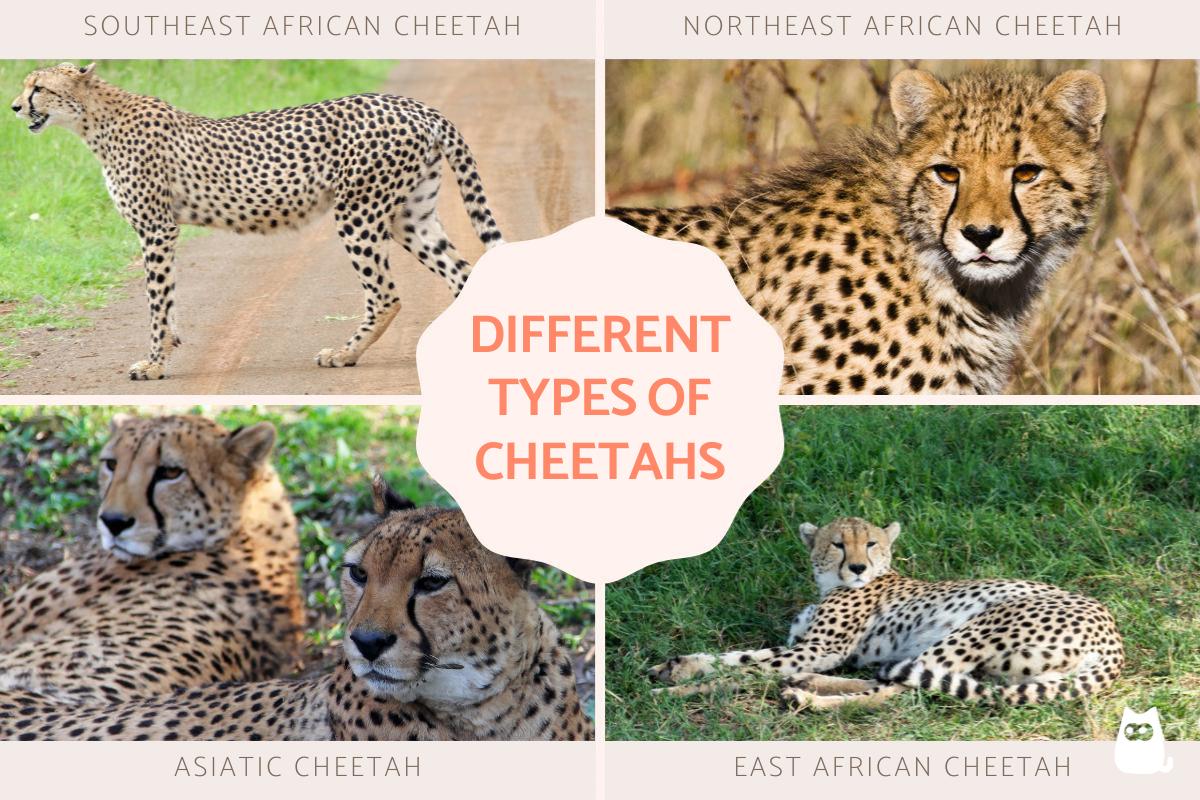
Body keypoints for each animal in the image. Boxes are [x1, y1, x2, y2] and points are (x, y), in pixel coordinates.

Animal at [10, 62, 504, 380]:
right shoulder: (163, 230)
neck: (95, 119)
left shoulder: (156, 228)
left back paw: (343, 354)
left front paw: (153, 363)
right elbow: (167, 299)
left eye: (38, 88)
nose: (14, 107)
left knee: (386, 295)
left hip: (358, 212)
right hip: (409, 215)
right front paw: (168, 347)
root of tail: (413, 104)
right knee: (462, 273)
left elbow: (157, 300)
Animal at [648, 517, 1124, 709]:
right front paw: (676, 667)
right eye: (838, 543)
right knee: (894, 678)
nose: (858, 567)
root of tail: (1114, 636)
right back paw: (807, 685)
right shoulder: (805, 646)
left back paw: (808, 697)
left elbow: (744, 670)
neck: (830, 585)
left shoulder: (818, 648)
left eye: (871, 543)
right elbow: (739, 657)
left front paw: (680, 692)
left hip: (978, 626)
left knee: (898, 689)